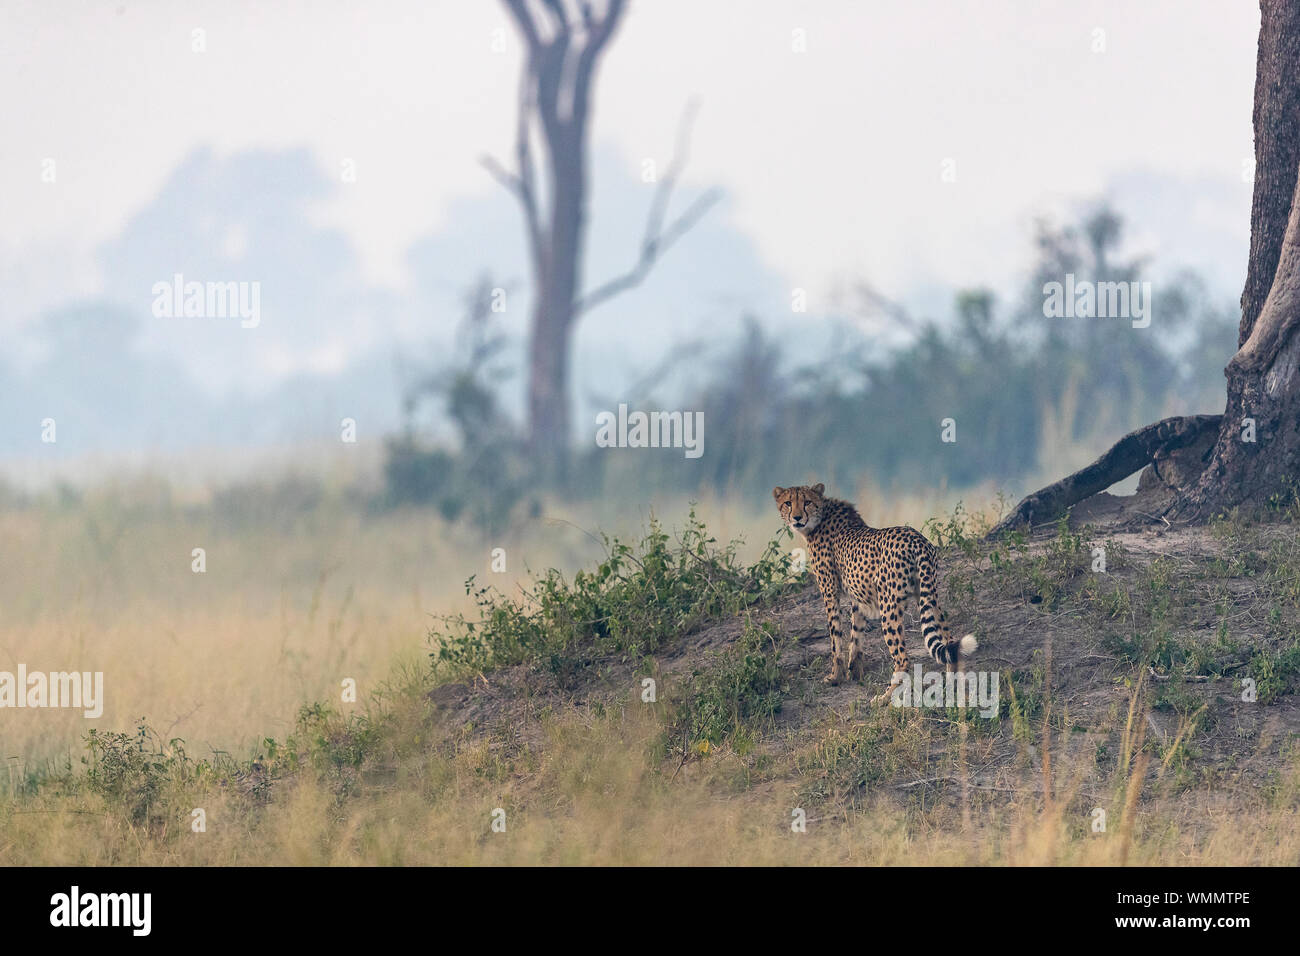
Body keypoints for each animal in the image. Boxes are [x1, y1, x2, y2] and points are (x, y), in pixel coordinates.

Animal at [773, 482, 977, 705]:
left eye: (807, 502)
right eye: (788, 503)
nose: (797, 517)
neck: (820, 517)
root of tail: (917, 538)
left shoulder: (829, 593)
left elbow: (835, 638)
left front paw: (835, 676)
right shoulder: (858, 597)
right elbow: (856, 635)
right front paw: (855, 671)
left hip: (889, 605)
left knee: (903, 659)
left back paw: (885, 697)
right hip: (928, 595)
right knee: (949, 640)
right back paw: (952, 687)